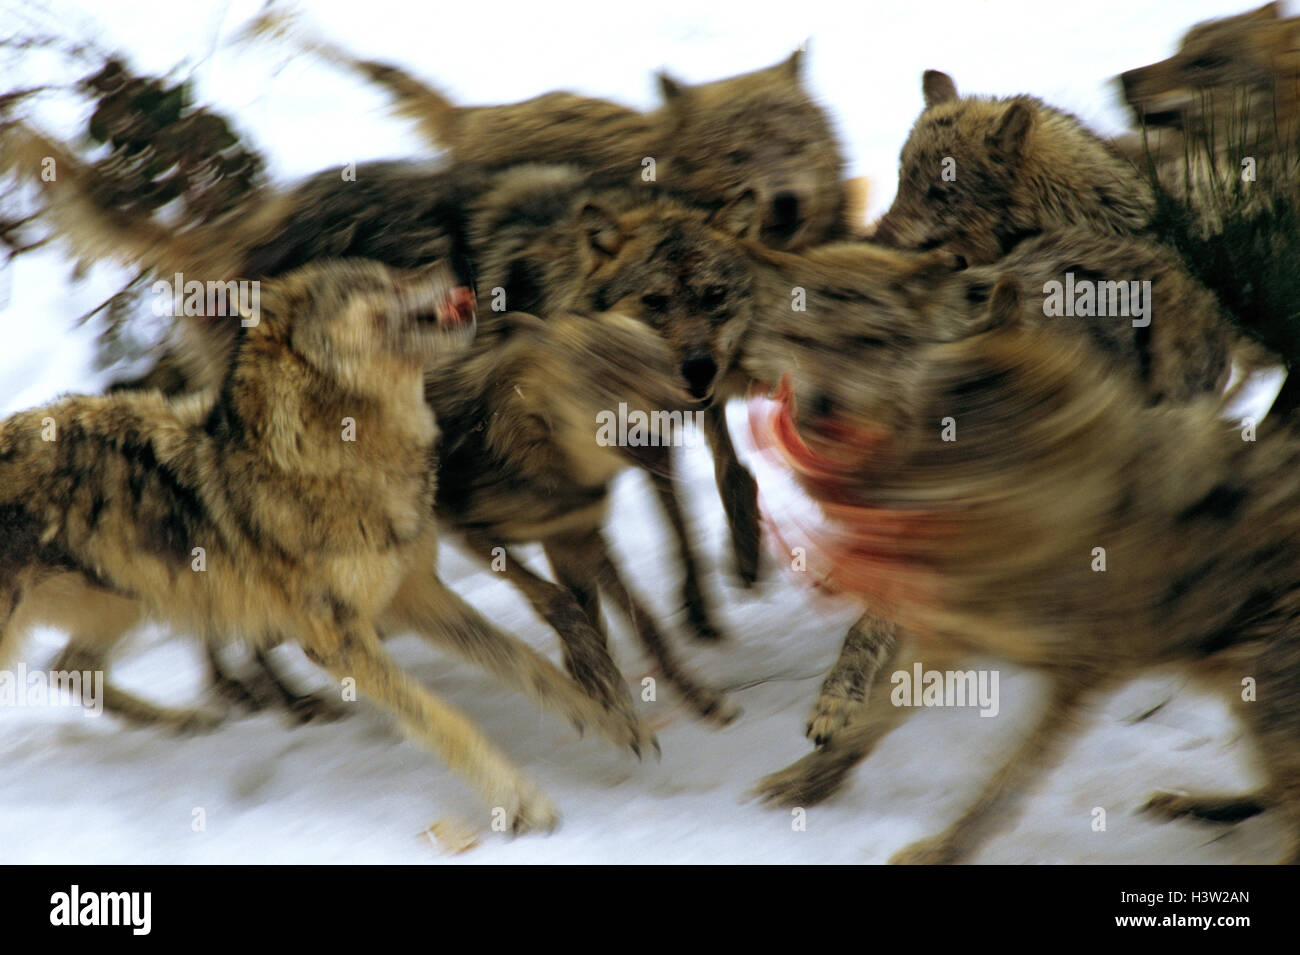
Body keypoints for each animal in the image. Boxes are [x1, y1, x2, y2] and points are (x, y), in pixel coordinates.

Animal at [0, 258, 639, 832]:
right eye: (374, 281)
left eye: (391, 269)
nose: (452, 270)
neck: (341, 459)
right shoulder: (339, 641)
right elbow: (444, 720)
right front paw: (522, 802)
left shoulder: (414, 594)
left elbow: (526, 661)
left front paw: (608, 718)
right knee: (72, 669)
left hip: (132, 603)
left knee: (68, 669)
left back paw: (184, 722)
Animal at [750, 277, 1300, 863]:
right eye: (907, 417)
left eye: (949, 443)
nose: (831, 483)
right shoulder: (949, 640)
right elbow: (866, 730)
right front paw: (804, 784)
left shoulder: (1082, 677)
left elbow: (1005, 785)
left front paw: (943, 851)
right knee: (1277, 797)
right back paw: (1196, 804)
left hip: (1266, 695)